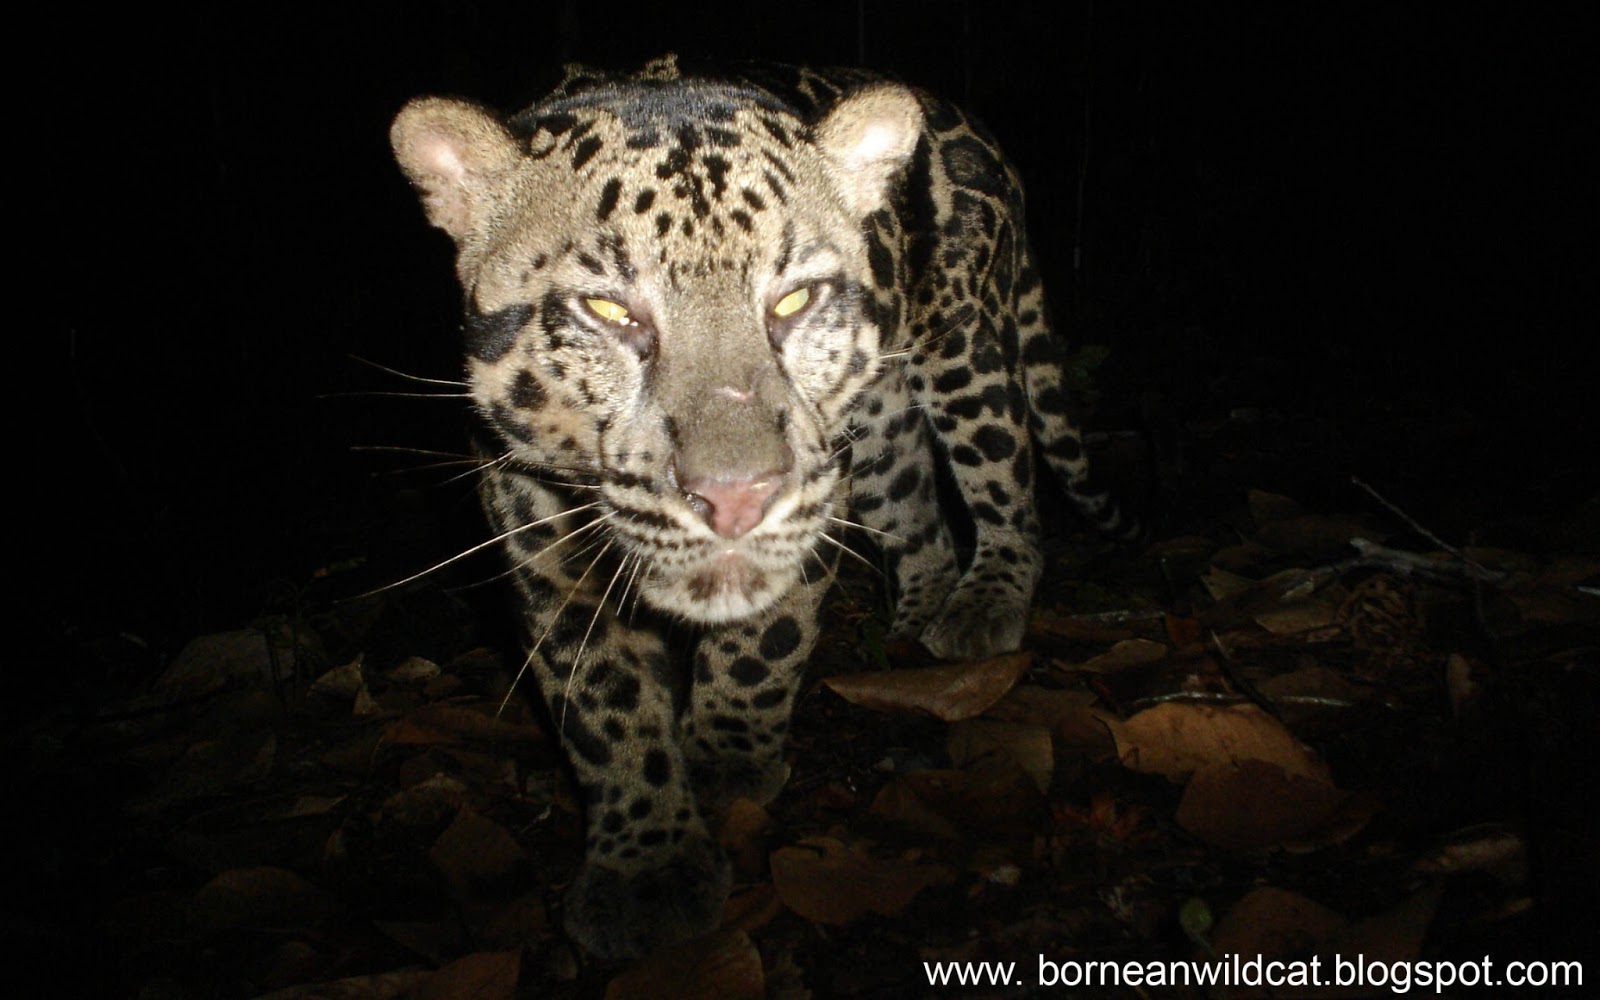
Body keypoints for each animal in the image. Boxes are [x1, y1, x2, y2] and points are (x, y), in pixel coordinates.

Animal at [390, 54, 1134, 959]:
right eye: (607, 311)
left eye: (793, 301)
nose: (736, 496)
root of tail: (972, 129)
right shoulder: (535, 534)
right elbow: (602, 700)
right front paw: (646, 867)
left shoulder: (814, 489)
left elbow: (761, 643)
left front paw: (727, 760)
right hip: (881, 436)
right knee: (919, 522)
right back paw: (912, 622)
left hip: (964, 353)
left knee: (1006, 481)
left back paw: (984, 604)